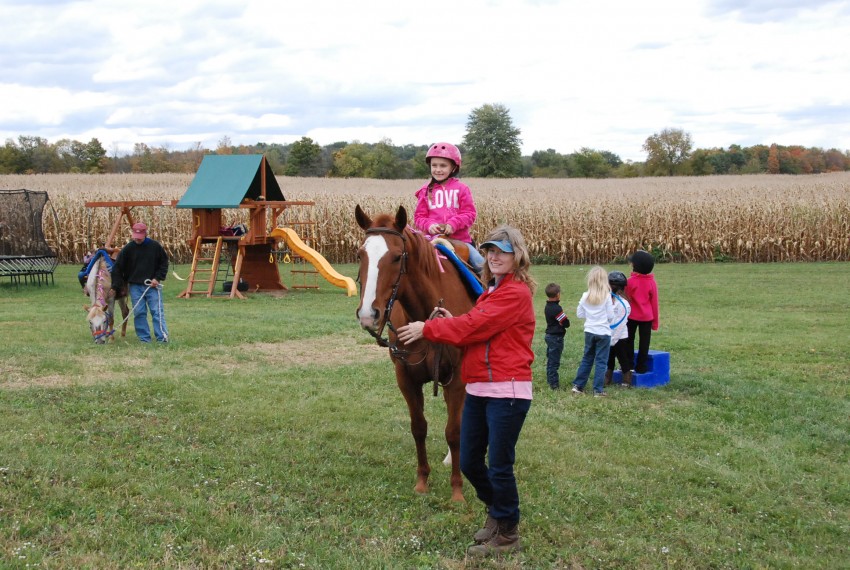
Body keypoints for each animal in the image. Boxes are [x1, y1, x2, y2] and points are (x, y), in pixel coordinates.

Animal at [355, 204, 480, 502]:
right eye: (360, 254)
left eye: (397, 256)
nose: (368, 314)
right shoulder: (406, 378)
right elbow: (419, 427)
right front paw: (422, 481)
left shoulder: (457, 379)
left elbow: (453, 431)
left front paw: (457, 490)